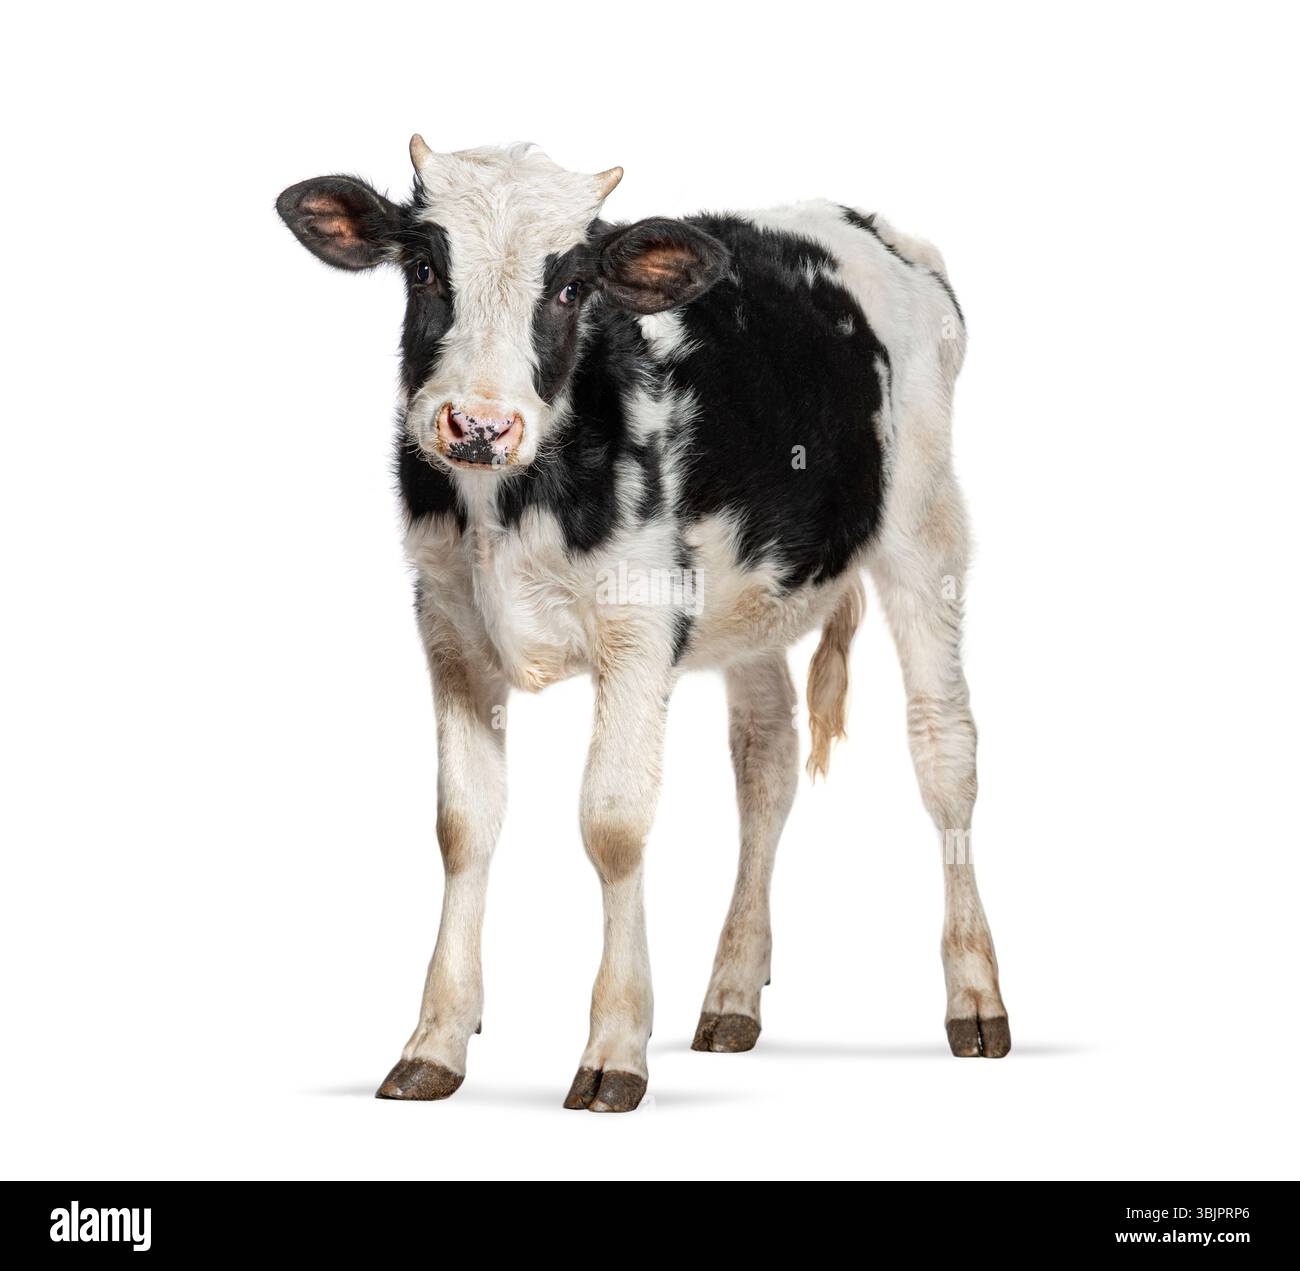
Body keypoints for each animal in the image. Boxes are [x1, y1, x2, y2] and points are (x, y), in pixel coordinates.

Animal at [275, 138, 1010, 1113]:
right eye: (425, 269)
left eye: (571, 287)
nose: (479, 424)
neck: (508, 506)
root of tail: (859, 222)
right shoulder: (448, 624)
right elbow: (463, 824)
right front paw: (435, 1040)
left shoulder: (639, 626)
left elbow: (613, 824)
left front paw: (616, 1048)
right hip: (751, 594)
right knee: (766, 762)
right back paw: (731, 994)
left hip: (926, 529)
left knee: (945, 752)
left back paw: (976, 998)